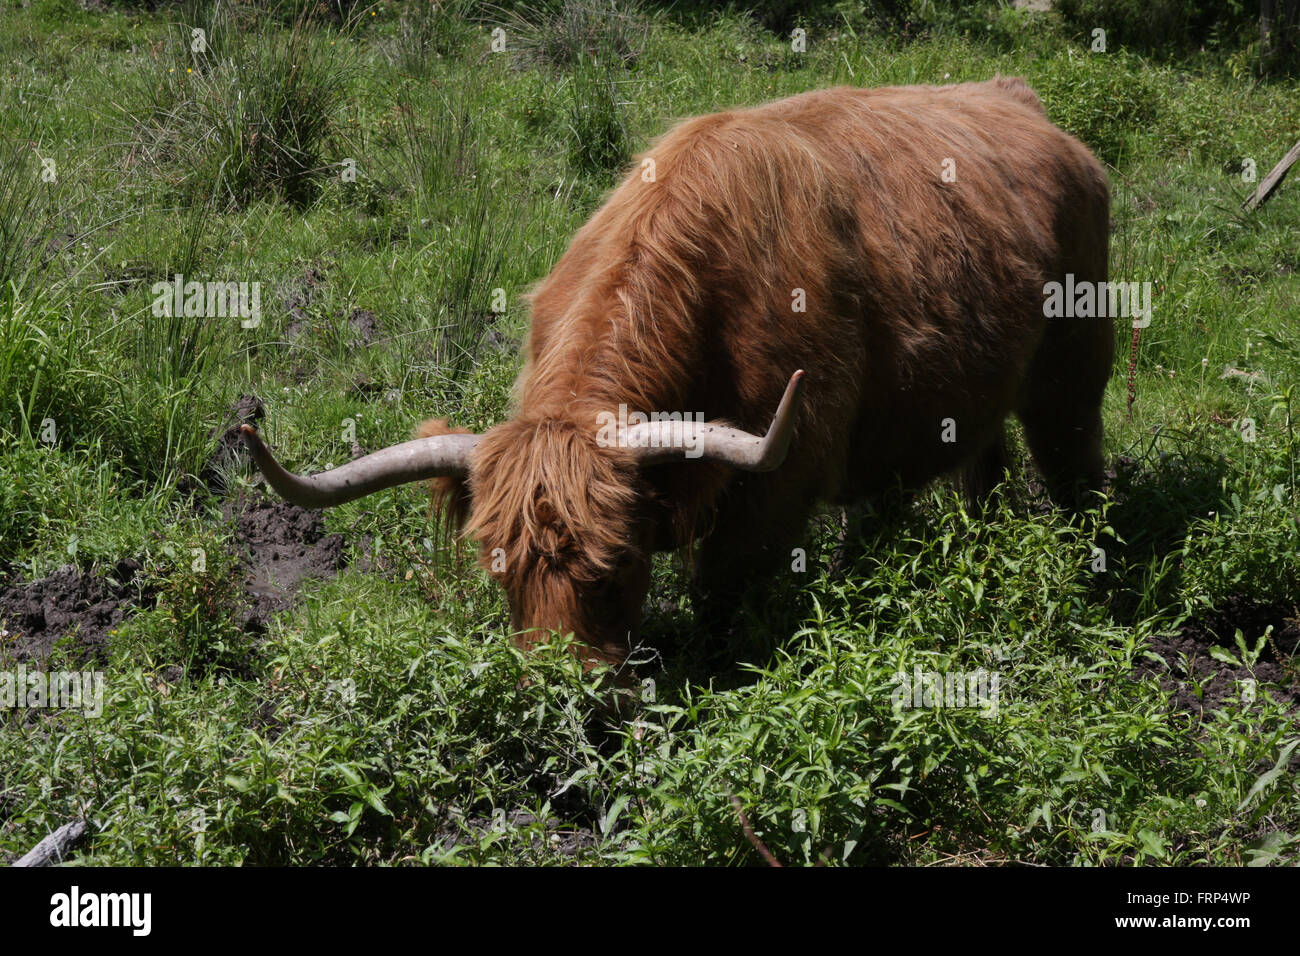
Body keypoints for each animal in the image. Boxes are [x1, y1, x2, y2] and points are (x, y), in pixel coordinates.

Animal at [241, 77, 1113, 677]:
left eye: (617, 565)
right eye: (500, 567)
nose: (564, 693)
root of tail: (1016, 98)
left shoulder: (776, 486)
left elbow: (720, 601)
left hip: (1074, 375)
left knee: (1077, 478)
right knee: (982, 471)